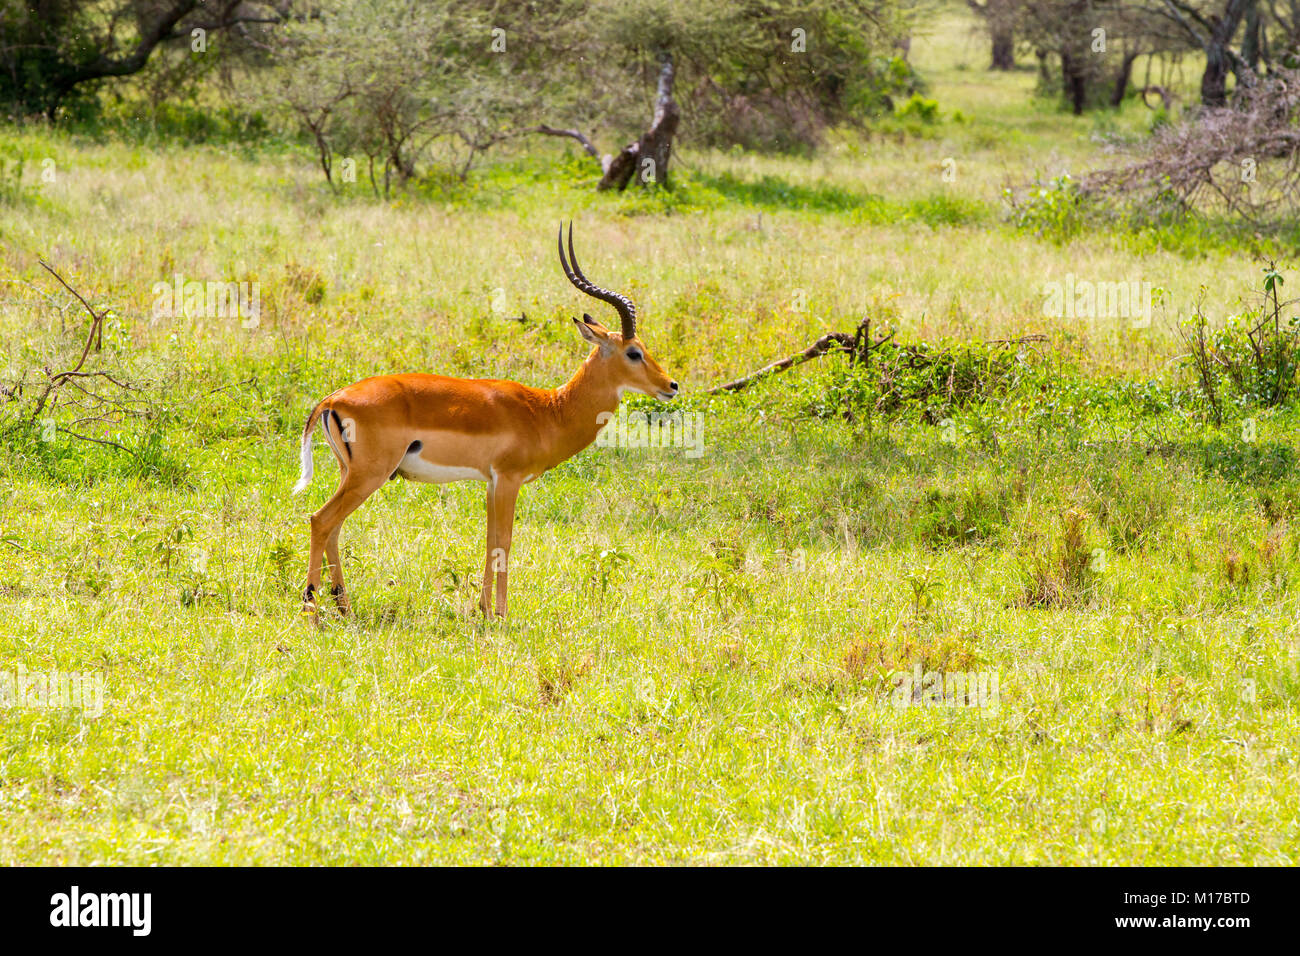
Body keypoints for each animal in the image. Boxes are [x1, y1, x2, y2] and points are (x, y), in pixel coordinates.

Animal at [292, 224, 679, 620]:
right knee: (321, 520)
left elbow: (490, 539)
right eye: (634, 352)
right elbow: (504, 541)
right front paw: (502, 615)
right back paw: (311, 608)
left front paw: (484, 609)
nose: (671, 386)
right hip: (370, 474)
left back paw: (343, 606)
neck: (547, 411)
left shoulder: (491, 483)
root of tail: (333, 398)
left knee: (334, 527)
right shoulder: (508, 479)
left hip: (351, 474)